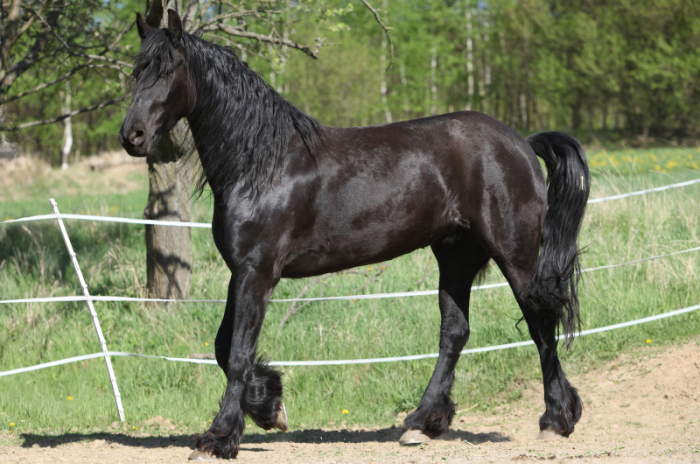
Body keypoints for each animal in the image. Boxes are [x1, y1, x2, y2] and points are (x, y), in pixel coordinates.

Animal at [120, 9, 590, 460]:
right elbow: (222, 347)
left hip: (516, 254)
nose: (132, 136)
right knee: (455, 333)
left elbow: (236, 354)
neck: (264, 165)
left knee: (540, 322)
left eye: (167, 70)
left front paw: (219, 438)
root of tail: (523, 143)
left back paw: (556, 420)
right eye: (136, 70)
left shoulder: (257, 272)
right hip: (457, 255)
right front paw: (270, 405)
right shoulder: (241, 272)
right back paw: (422, 423)